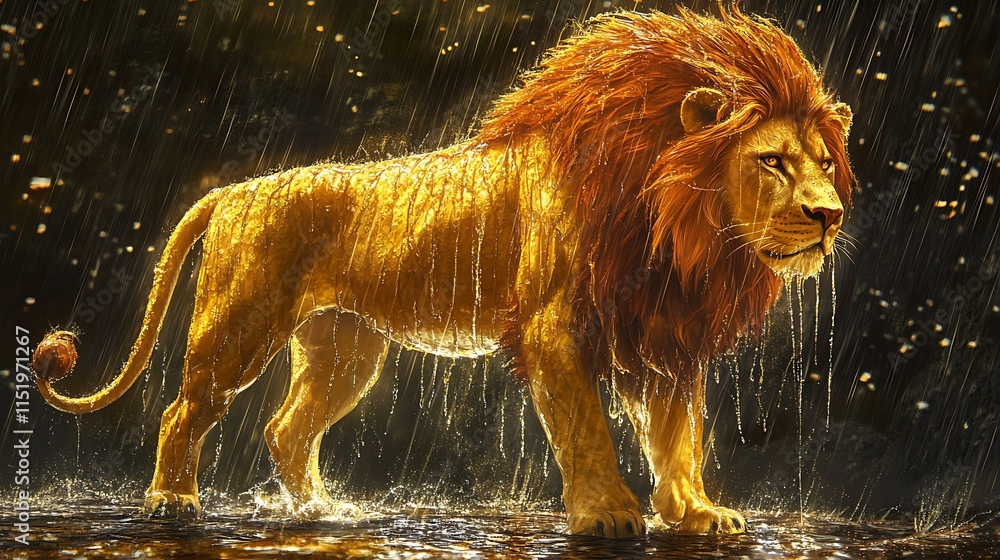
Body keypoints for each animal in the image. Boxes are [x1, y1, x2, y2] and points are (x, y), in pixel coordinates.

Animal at [32, 5, 853, 538]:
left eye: (823, 161)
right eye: (772, 161)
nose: (830, 214)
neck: (672, 227)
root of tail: (235, 188)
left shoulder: (665, 332)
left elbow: (679, 436)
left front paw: (694, 513)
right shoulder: (555, 329)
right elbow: (588, 429)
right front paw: (610, 514)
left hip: (344, 350)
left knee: (285, 428)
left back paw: (320, 512)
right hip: (238, 325)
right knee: (185, 411)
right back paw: (172, 503)